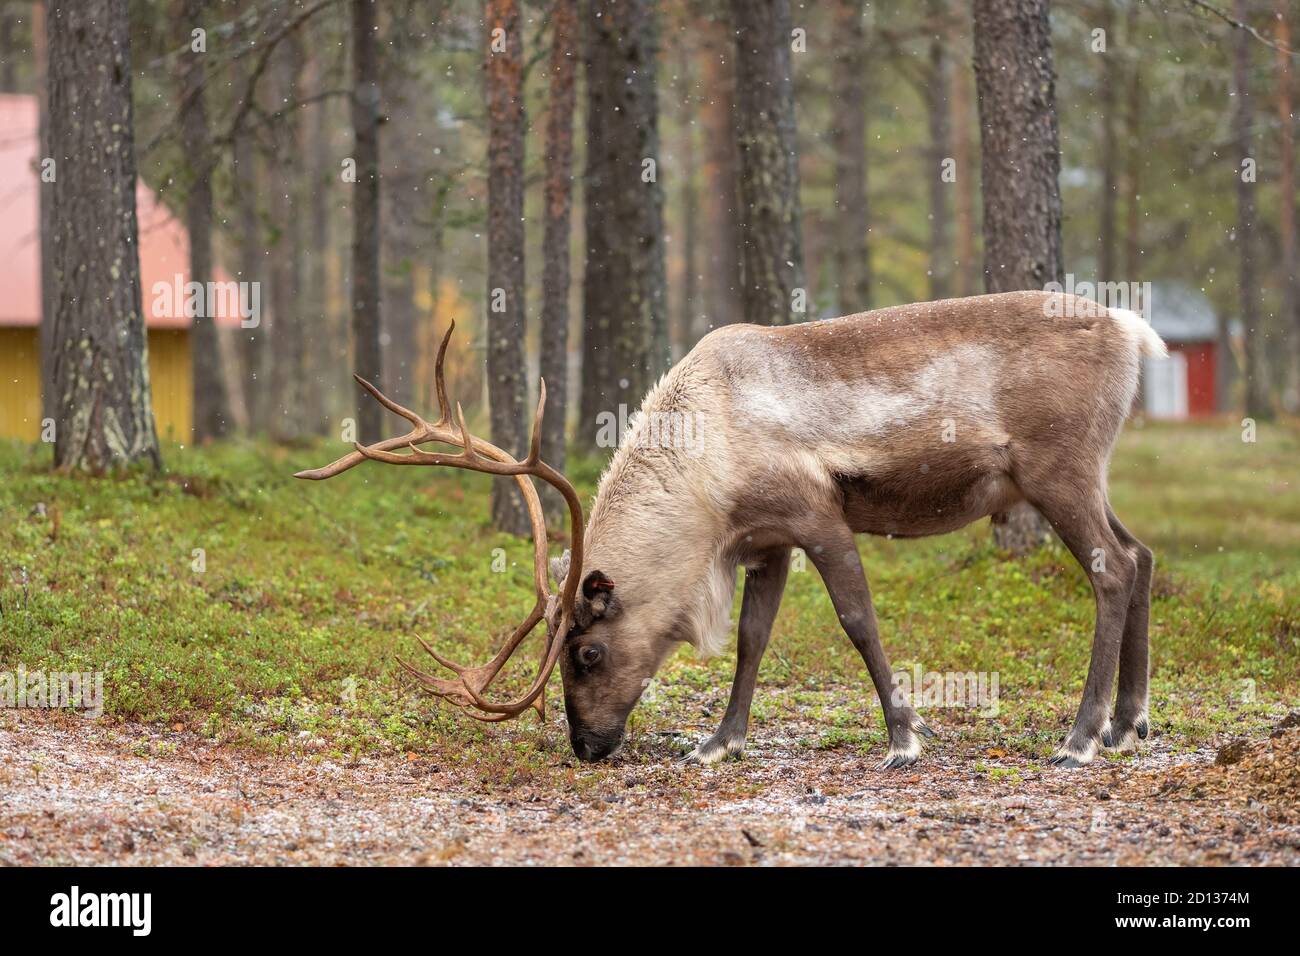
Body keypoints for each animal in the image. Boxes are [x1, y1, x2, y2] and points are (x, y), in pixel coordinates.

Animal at [296, 290, 1165, 770]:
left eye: (587, 652)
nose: (587, 746)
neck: (704, 480)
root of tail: (1134, 329)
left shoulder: (816, 512)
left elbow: (857, 619)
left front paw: (904, 737)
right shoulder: (766, 541)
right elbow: (752, 638)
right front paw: (719, 741)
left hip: (1058, 469)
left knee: (1112, 569)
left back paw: (1081, 737)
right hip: (1081, 475)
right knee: (1143, 552)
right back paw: (1129, 724)